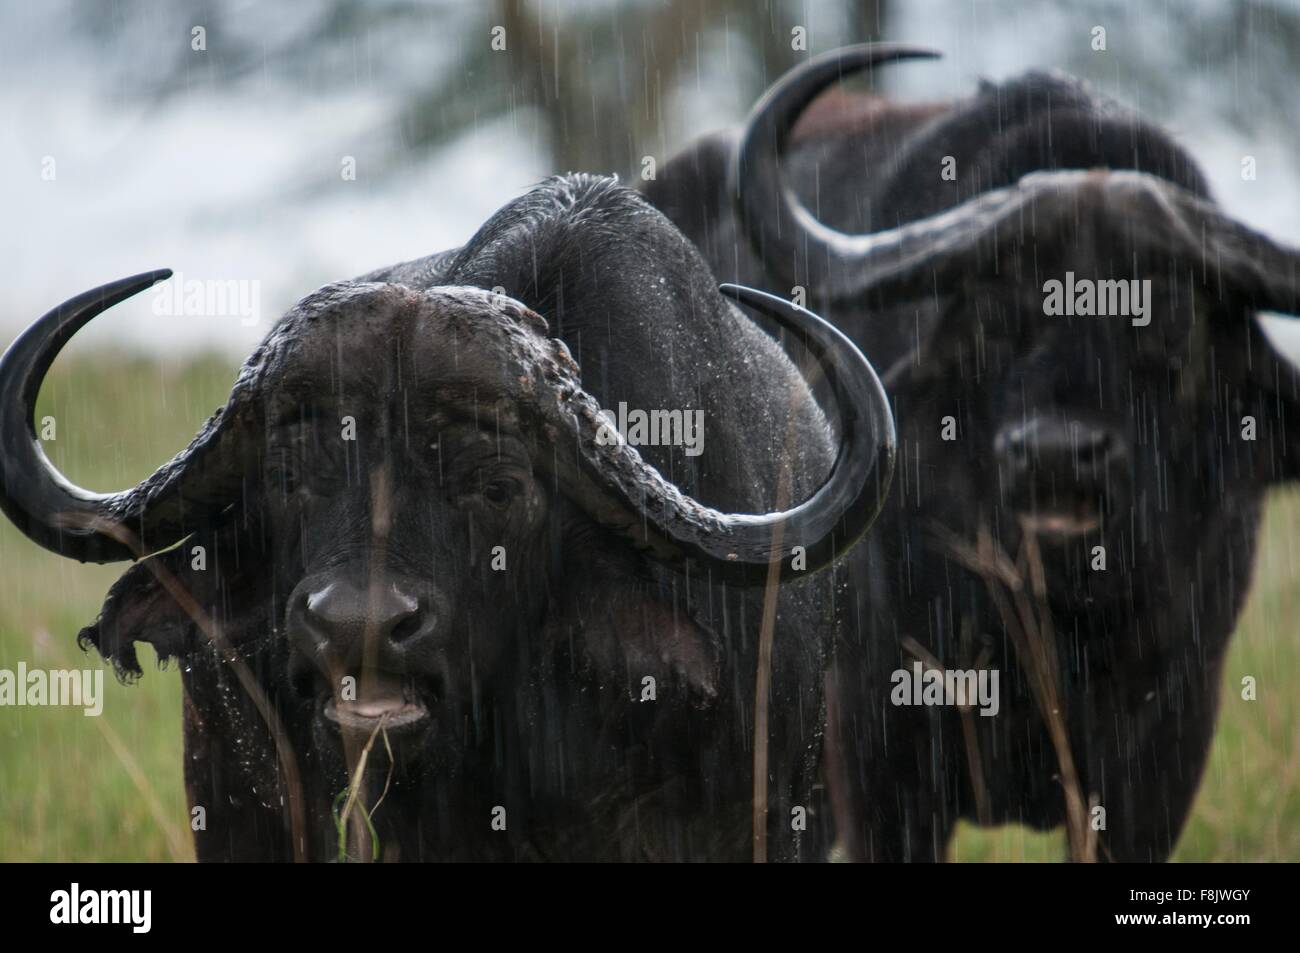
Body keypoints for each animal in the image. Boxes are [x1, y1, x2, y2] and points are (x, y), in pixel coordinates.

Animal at [646, 45, 1300, 860]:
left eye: (1171, 320)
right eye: (994, 314)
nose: (1055, 455)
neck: (1059, 629)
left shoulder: (1167, 750)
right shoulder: (881, 759)